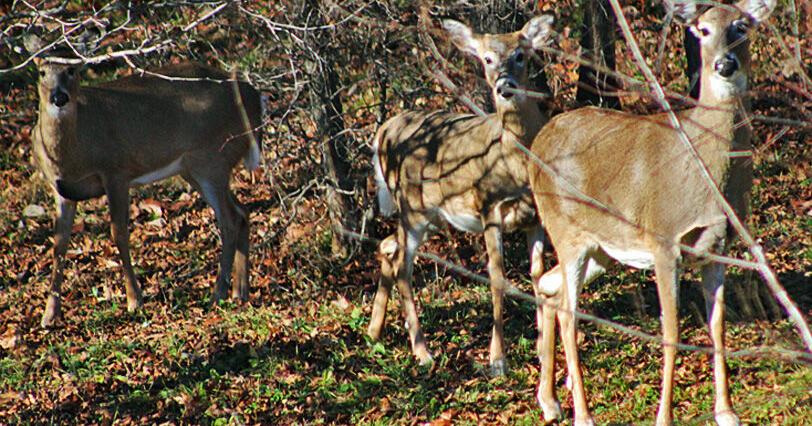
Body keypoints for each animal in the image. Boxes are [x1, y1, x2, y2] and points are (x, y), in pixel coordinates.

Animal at [24, 36, 263, 328]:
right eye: (41, 72)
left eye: (72, 70)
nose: (59, 98)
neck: (75, 152)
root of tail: (254, 98)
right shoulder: (61, 190)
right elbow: (58, 245)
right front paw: (49, 315)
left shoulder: (117, 171)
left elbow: (118, 234)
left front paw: (134, 301)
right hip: (194, 168)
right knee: (242, 212)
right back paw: (240, 291)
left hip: (212, 158)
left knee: (229, 219)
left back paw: (218, 293)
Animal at [369, 15, 556, 376]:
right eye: (487, 59)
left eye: (520, 54)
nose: (504, 85)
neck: (515, 161)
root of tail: (381, 132)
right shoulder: (488, 208)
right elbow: (497, 277)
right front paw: (497, 360)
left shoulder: (536, 216)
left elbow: (538, 275)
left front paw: (542, 351)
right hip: (410, 205)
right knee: (403, 266)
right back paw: (422, 351)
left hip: (432, 216)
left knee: (388, 245)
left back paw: (374, 329)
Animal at [527, 0, 775, 424]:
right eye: (701, 30)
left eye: (741, 26)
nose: (724, 64)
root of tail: (535, 146)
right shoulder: (664, 239)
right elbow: (672, 331)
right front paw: (665, 415)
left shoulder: (718, 245)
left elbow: (718, 326)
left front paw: (726, 411)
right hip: (566, 229)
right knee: (569, 313)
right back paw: (583, 414)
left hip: (601, 249)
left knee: (548, 286)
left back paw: (550, 402)